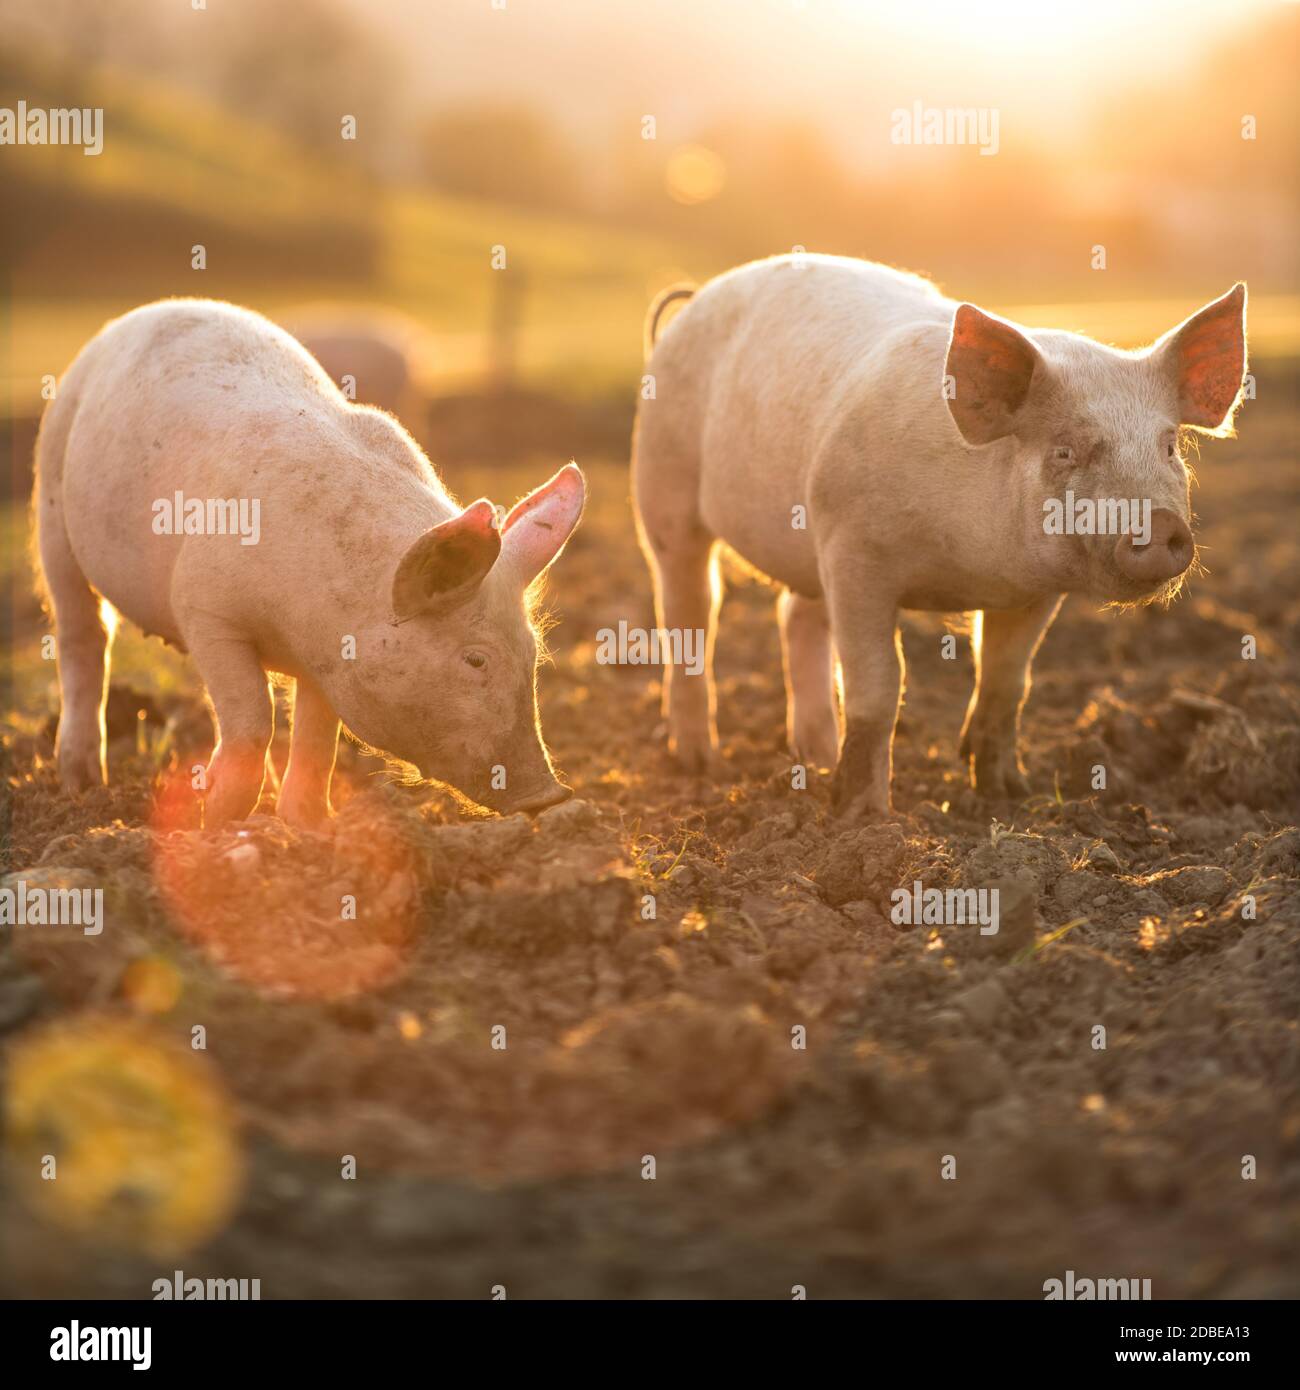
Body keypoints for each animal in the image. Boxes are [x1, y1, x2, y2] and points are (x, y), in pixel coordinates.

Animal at [35, 298, 585, 827]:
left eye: (533, 654)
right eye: (475, 659)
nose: (550, 795)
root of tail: (151, 310)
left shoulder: (329, 663)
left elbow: (317, 741)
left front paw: (310, 827)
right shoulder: (203, 609)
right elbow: (253, 721)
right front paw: (218, 824)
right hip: (52, 501)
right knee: (83, 636)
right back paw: (82, 783)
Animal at [632, 255, 1247, 817]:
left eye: (1169, 446)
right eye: (1065, 451)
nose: (1159, 524)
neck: (974, 569)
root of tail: (695, 300)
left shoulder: (1033, 593)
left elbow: (1006, 681)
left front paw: (1006, 795)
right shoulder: (854, 552)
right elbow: (879, 686)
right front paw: (863, 817)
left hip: (808, 541)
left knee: (795, 617)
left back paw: (816, 756)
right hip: (663, 489)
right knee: (692, 611)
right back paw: (700, 762)